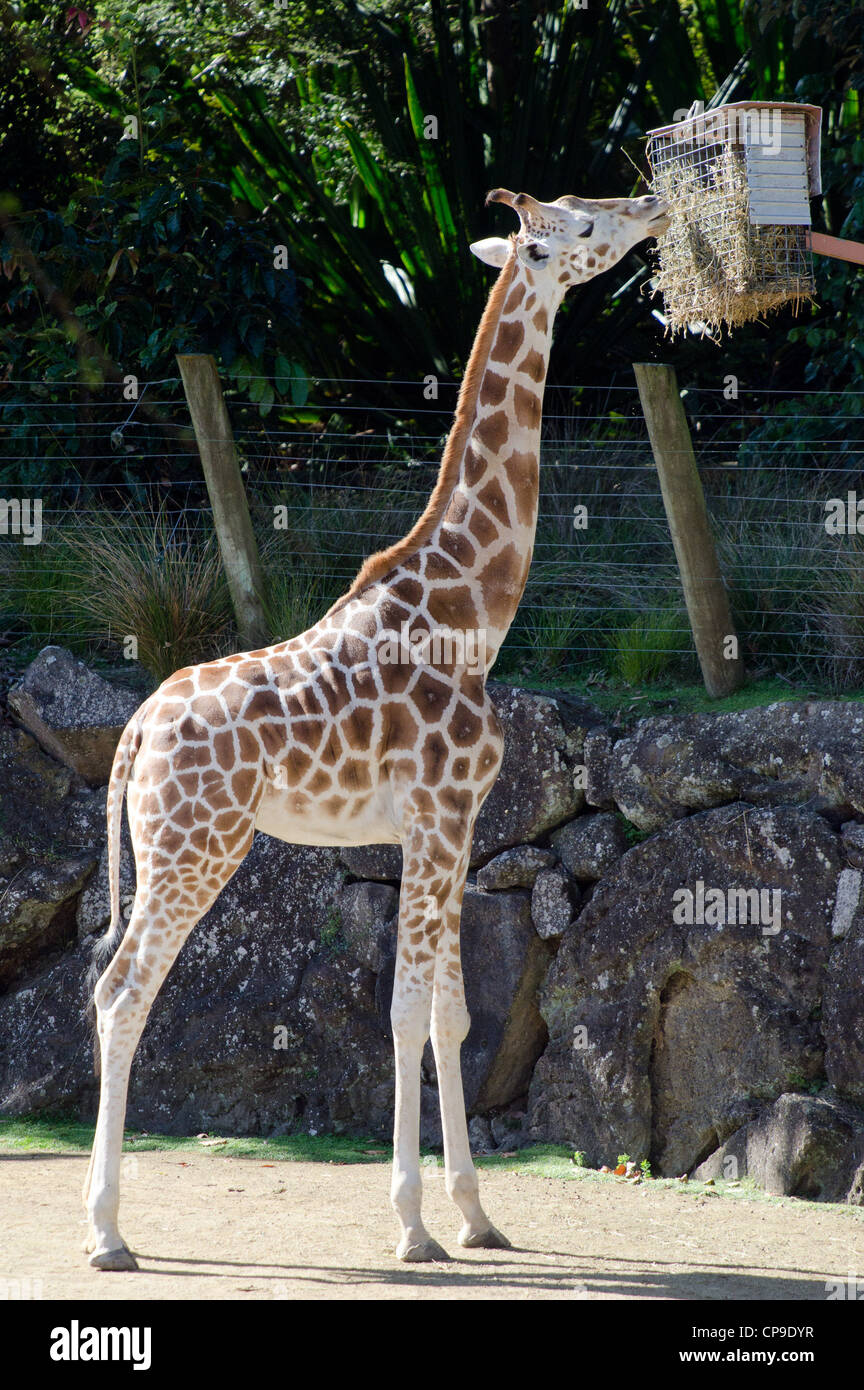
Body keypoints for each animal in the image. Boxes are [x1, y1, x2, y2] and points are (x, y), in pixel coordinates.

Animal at [83, 187, 669, 1269]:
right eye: (580, 225)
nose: (648, 202)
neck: (472, 612)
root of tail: (136, 728)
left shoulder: (455, 829)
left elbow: (453, 1014)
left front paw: (478, 1217)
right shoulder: (436, 818)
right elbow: (401, 1015)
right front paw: (414, 1226)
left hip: (178, 844)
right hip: (194, 846)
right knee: (121, 993)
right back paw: (106, 1234)